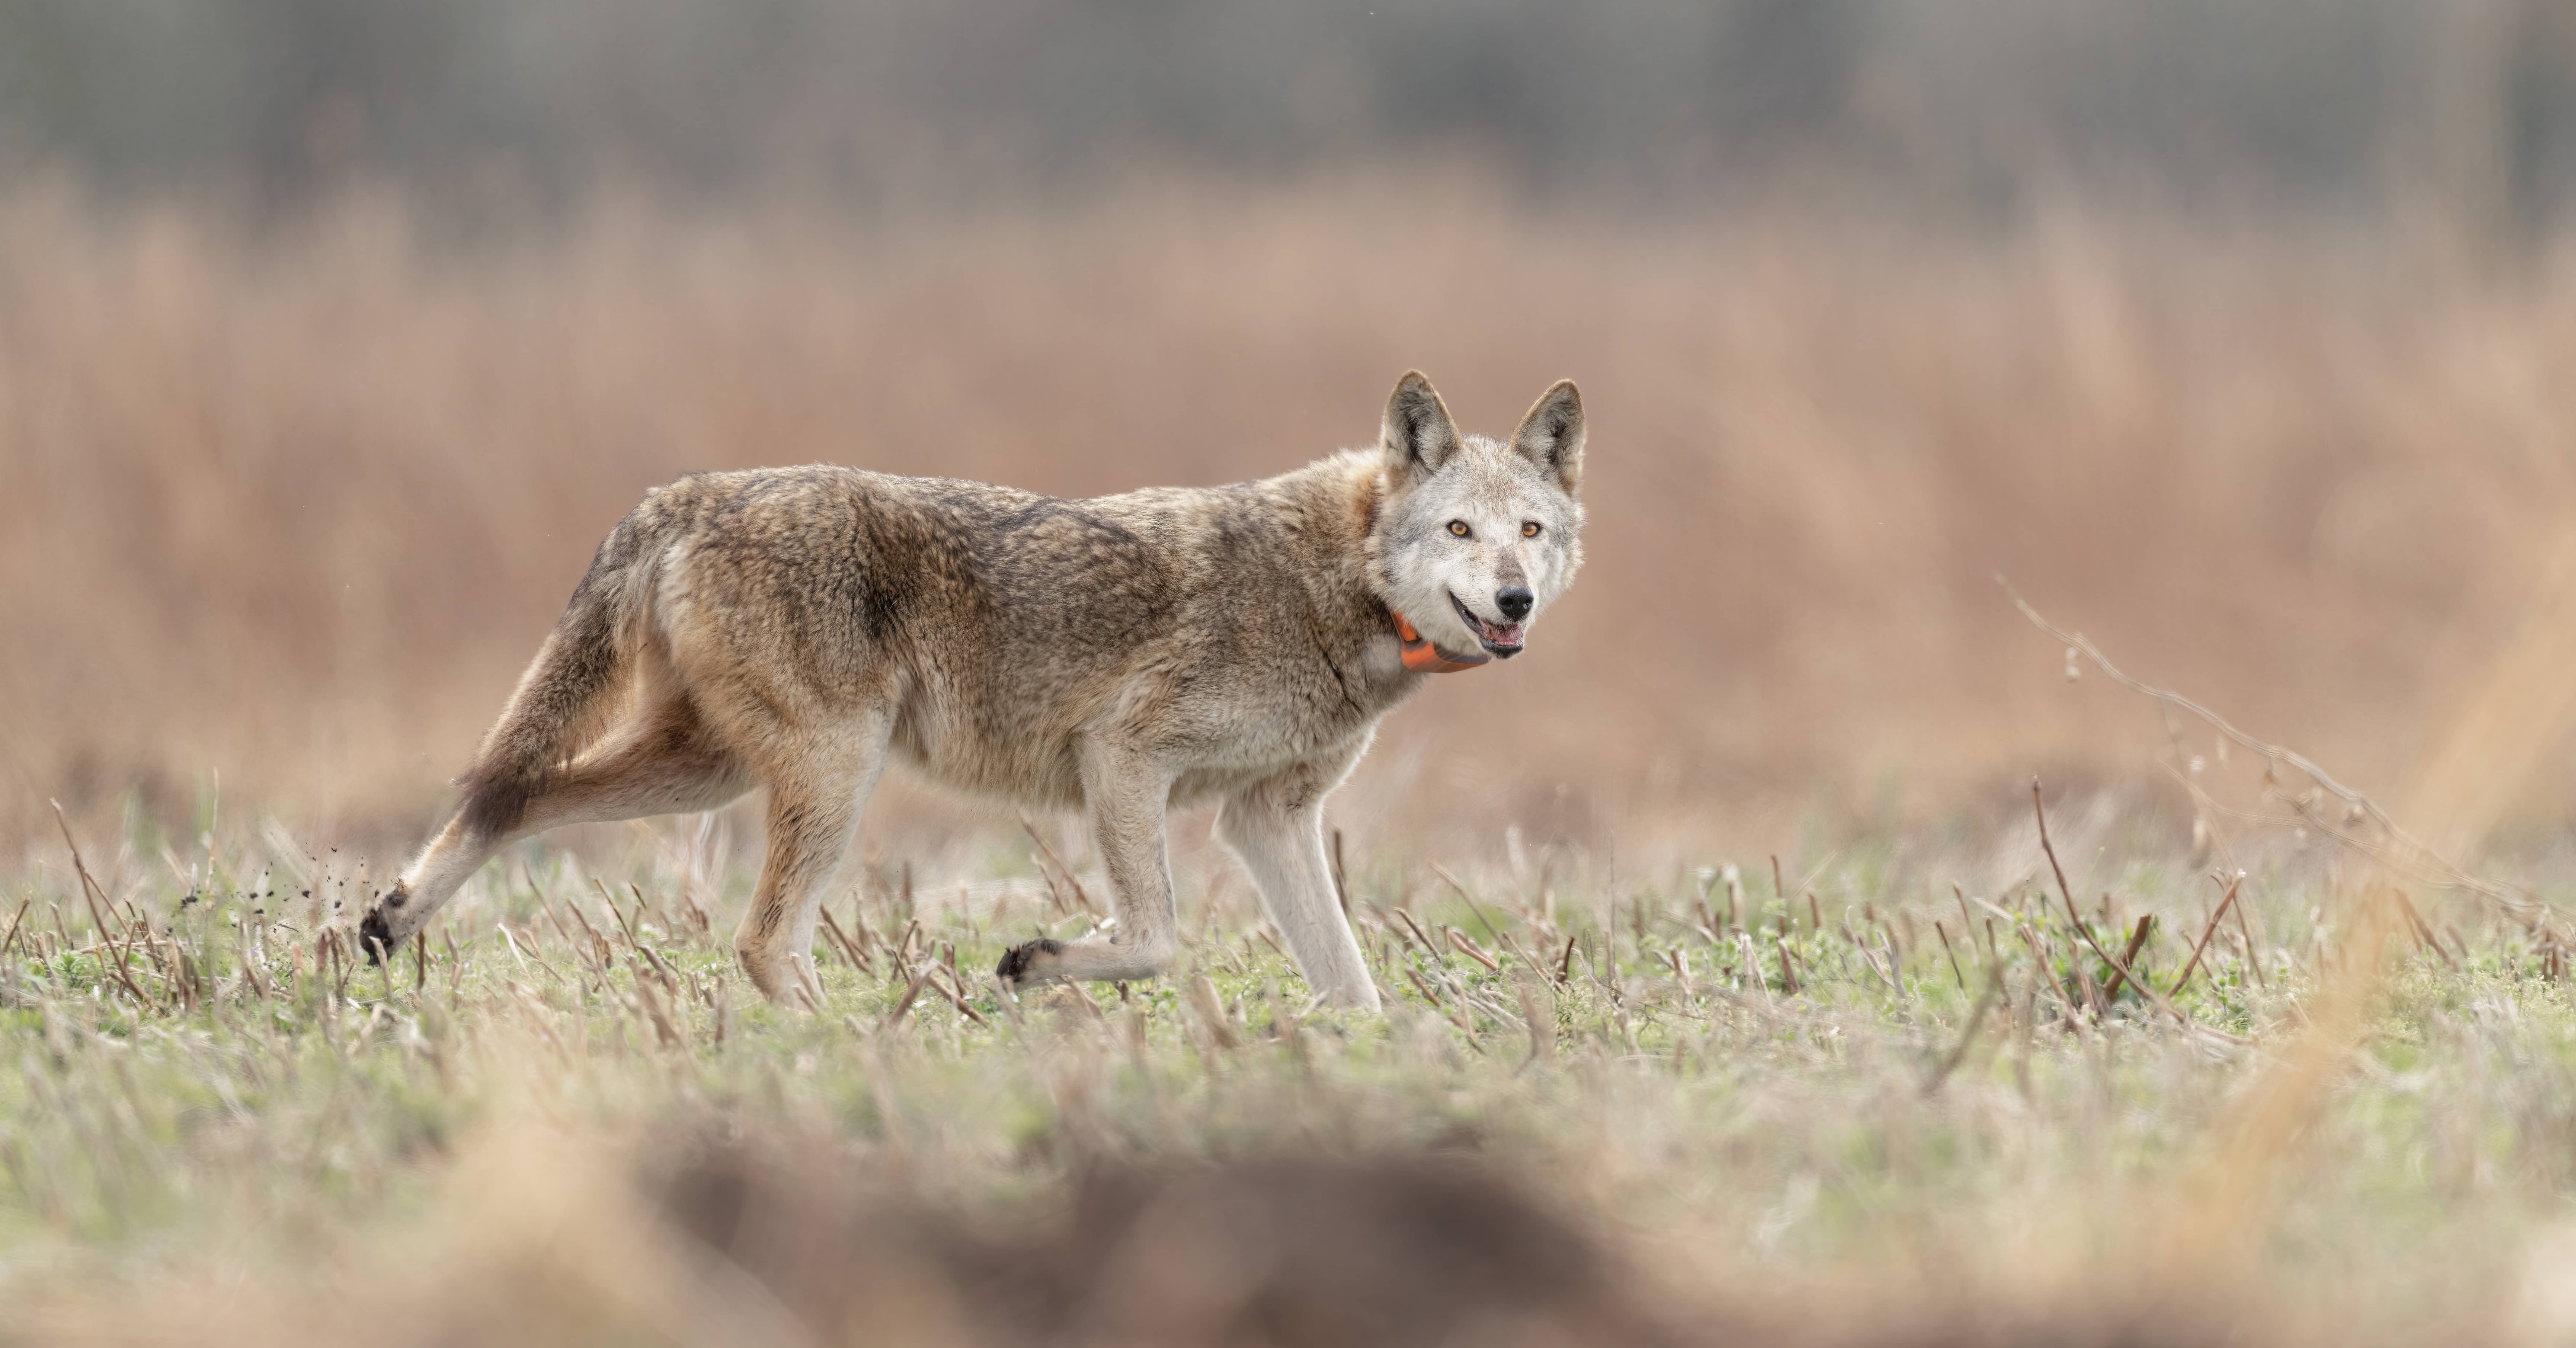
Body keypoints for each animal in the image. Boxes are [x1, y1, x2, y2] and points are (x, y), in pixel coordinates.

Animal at [357, 372, 1586, 1010]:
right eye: (1460, 531)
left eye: (1530, 530)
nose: (1516, 599)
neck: (1338, 583)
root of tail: (690, 492)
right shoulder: (1122, 757)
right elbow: (1154, 935)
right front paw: (1036, 962)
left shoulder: (1267, 817)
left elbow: (1351, 985)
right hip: (828, 773)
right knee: (758, 939)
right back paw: (859, 1048)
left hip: (709, 774)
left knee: (513, 795)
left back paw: (388, 920)